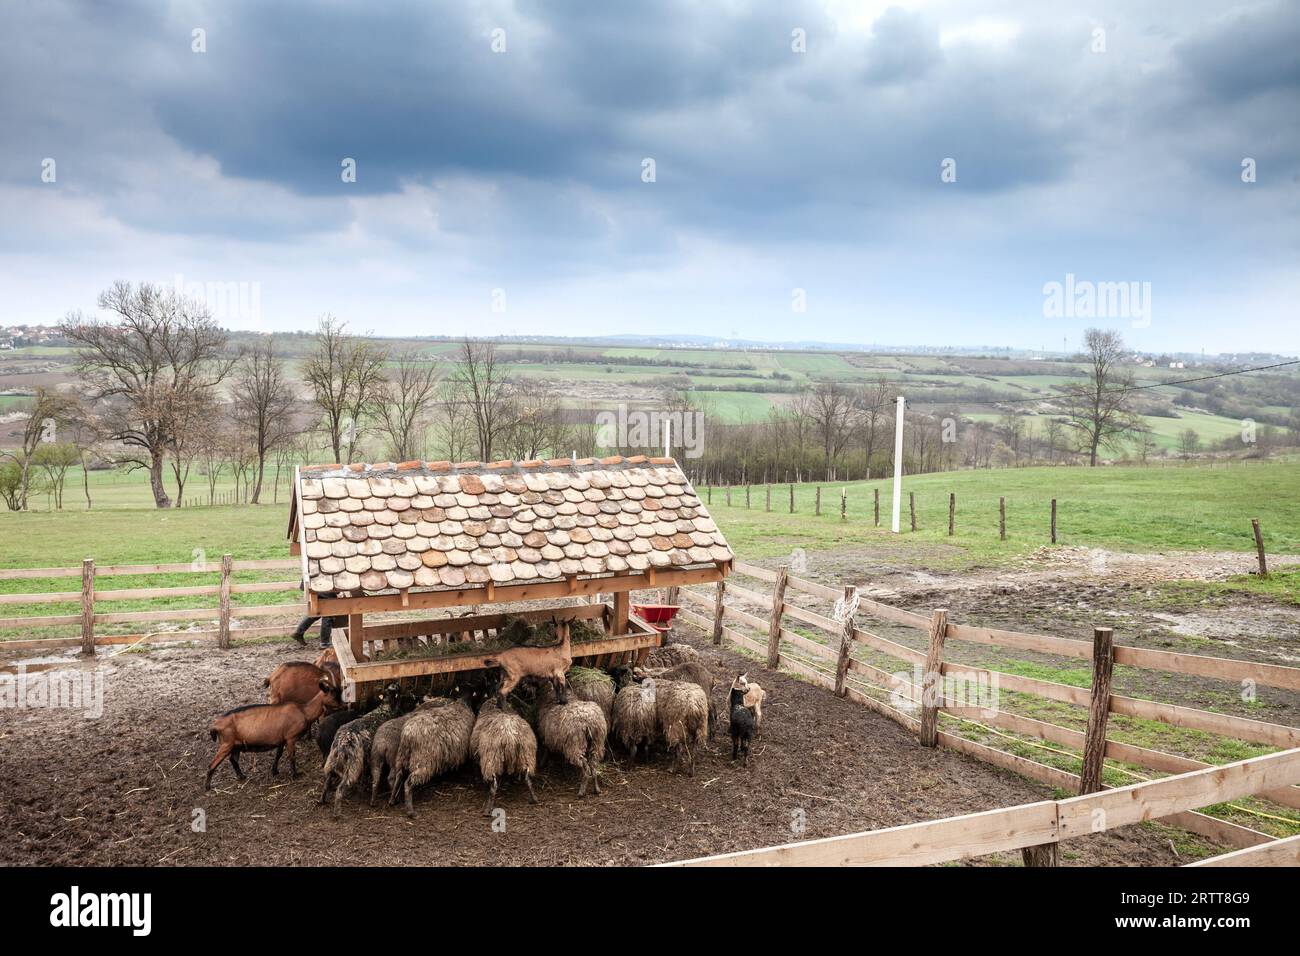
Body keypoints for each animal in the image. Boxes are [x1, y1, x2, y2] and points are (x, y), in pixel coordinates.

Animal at [206, 679, 342, 789]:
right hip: (226, 744)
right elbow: (291, 756)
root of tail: (216, 725)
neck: (303, 711)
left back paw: (241, 776)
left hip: (236, 745)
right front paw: (295, 775)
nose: (344, 705)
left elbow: (278, 754)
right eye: (333, 694)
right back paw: (207, 787)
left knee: (233, 760)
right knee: (212, 764)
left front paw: (274, 771)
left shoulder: (281, 739)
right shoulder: (290, 738)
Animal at [319, 683, 402, 814]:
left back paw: (322, 799)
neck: (385, 709)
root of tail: (343, 740)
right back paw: (337, 810)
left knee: (327, 779)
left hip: (332, 758)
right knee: (340, 788)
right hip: (353, 764)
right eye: (397, 691)